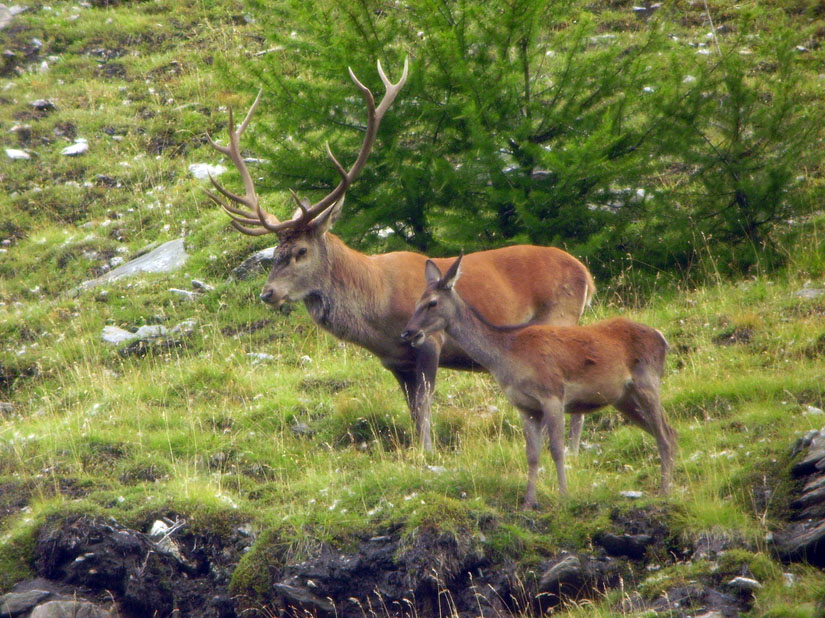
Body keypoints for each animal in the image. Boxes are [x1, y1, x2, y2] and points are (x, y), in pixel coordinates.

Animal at [400, 254, 676, 506]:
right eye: (416, 301)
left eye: (432, 303)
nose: (408, 332)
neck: (508, 356)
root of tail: (662, 338)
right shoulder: (525, 406)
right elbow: (532, 454)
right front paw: (528, 502)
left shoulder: (552, 394)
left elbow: (556, 448)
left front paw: (564, 495)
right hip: (624, 398)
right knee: (667, 431)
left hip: (647, 382)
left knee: (665, 434)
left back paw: (665, 490)